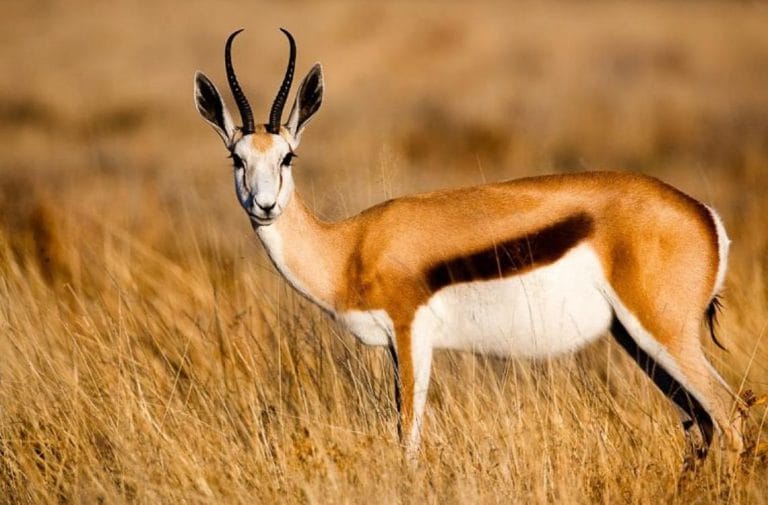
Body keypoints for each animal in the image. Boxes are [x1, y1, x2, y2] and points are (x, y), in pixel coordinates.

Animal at [194, 28, 745, 466]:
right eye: (236, 158)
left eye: (287, 157)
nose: (265, 206)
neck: (348, 247)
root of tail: (703, 214)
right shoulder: (396, 347)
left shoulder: (410, 334)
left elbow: (408, 435)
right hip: (637, 343)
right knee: (705, 423)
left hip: (665, 335)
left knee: (732, 415)